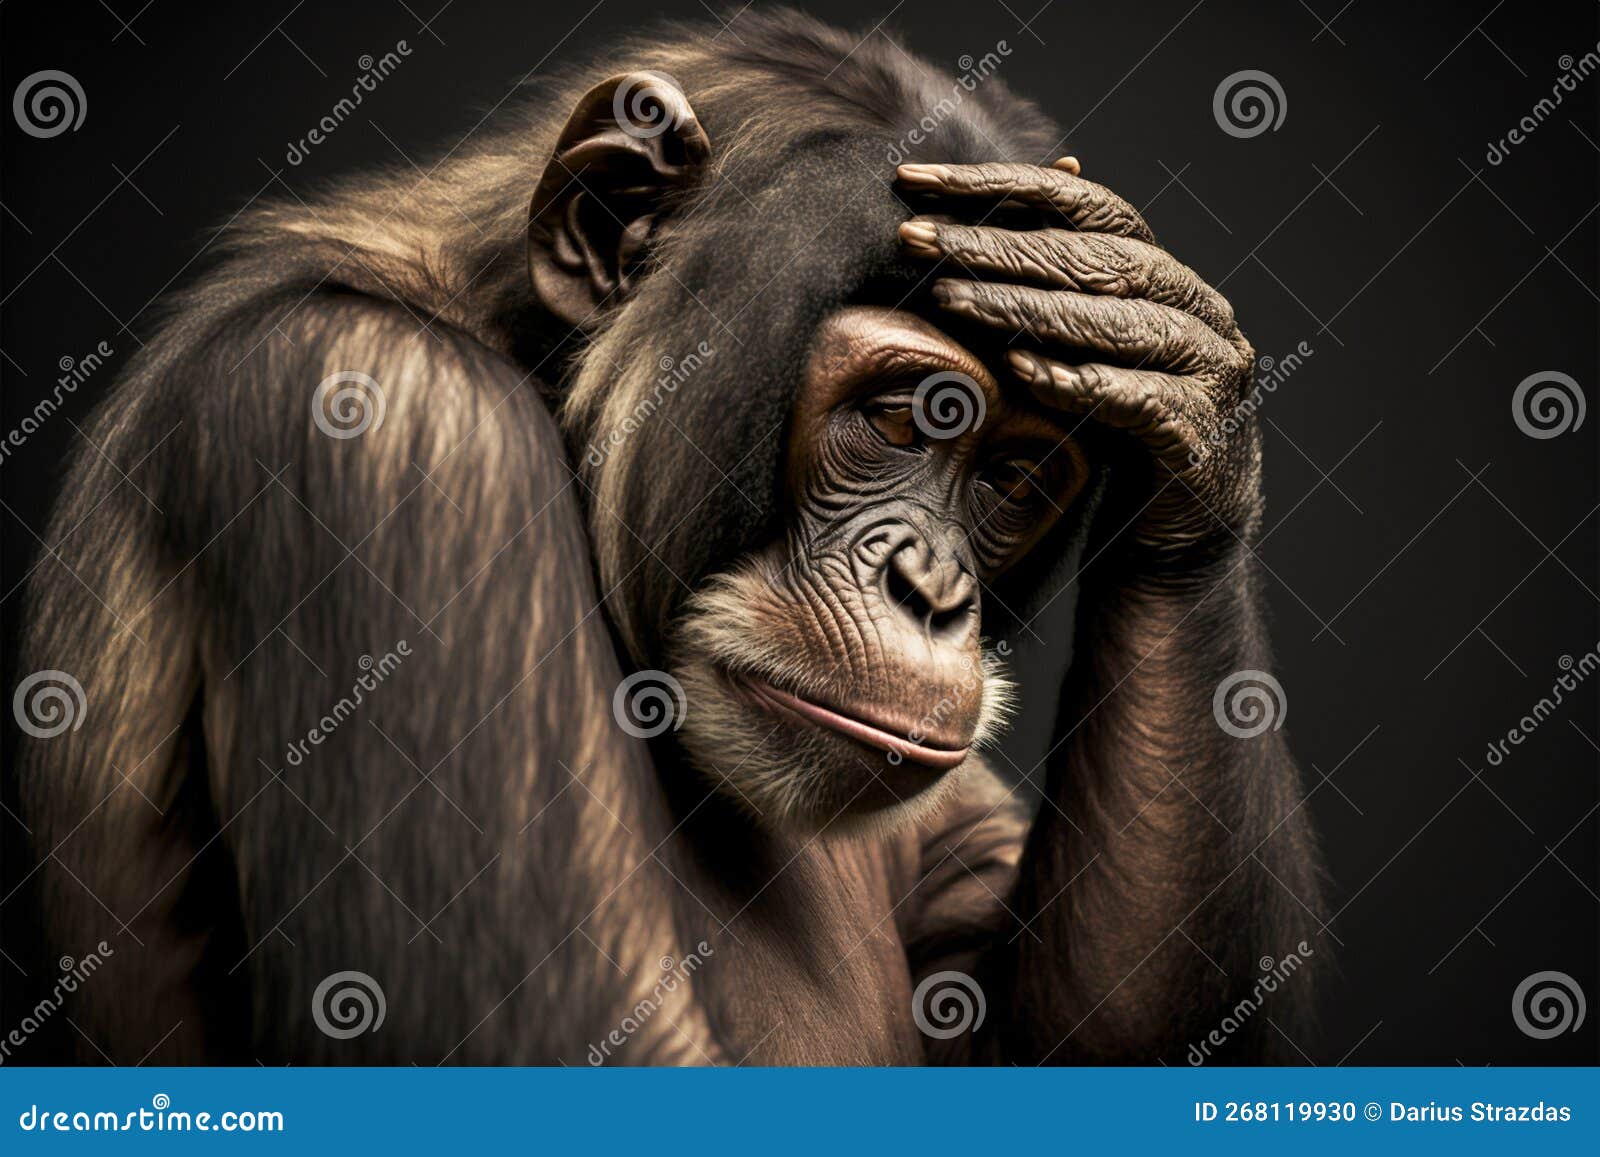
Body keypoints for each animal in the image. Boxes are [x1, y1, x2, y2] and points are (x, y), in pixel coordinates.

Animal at [7, 9, 1322, 1065]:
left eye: (1015, 473)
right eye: (911, 415)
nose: (931, 585)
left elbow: (1062, 1030)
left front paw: (1174, 378)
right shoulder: (385, 431)